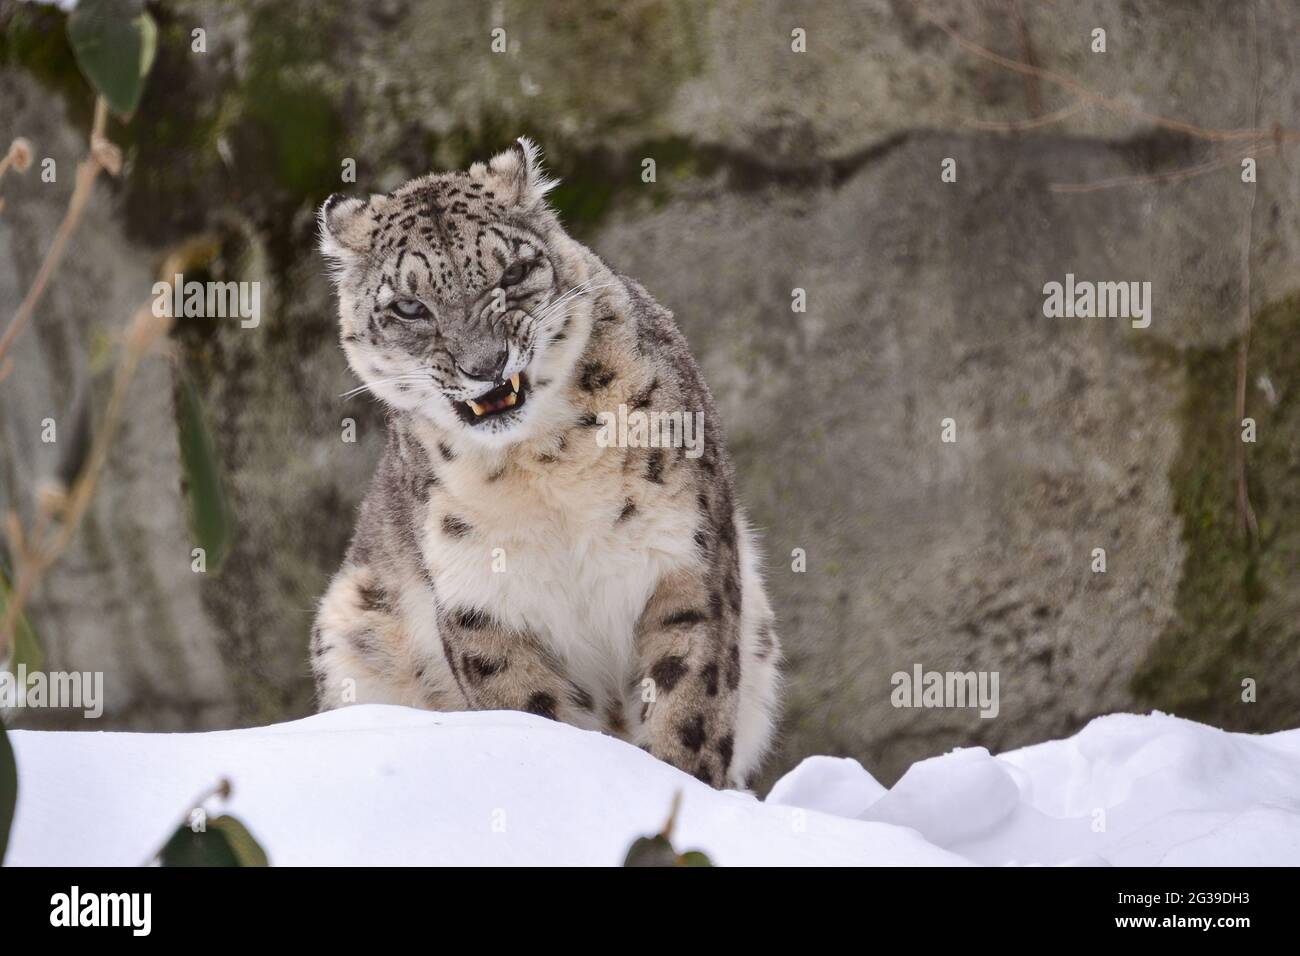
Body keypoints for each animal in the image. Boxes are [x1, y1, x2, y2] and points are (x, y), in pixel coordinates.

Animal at [311, 138, 780, 788]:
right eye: (408, 306)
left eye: (511, 272)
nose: (485, 363)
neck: (542, 470)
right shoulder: (481, 597)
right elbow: (530, 709)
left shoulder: (686, 556)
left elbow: (689, 702)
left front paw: (681, 788)